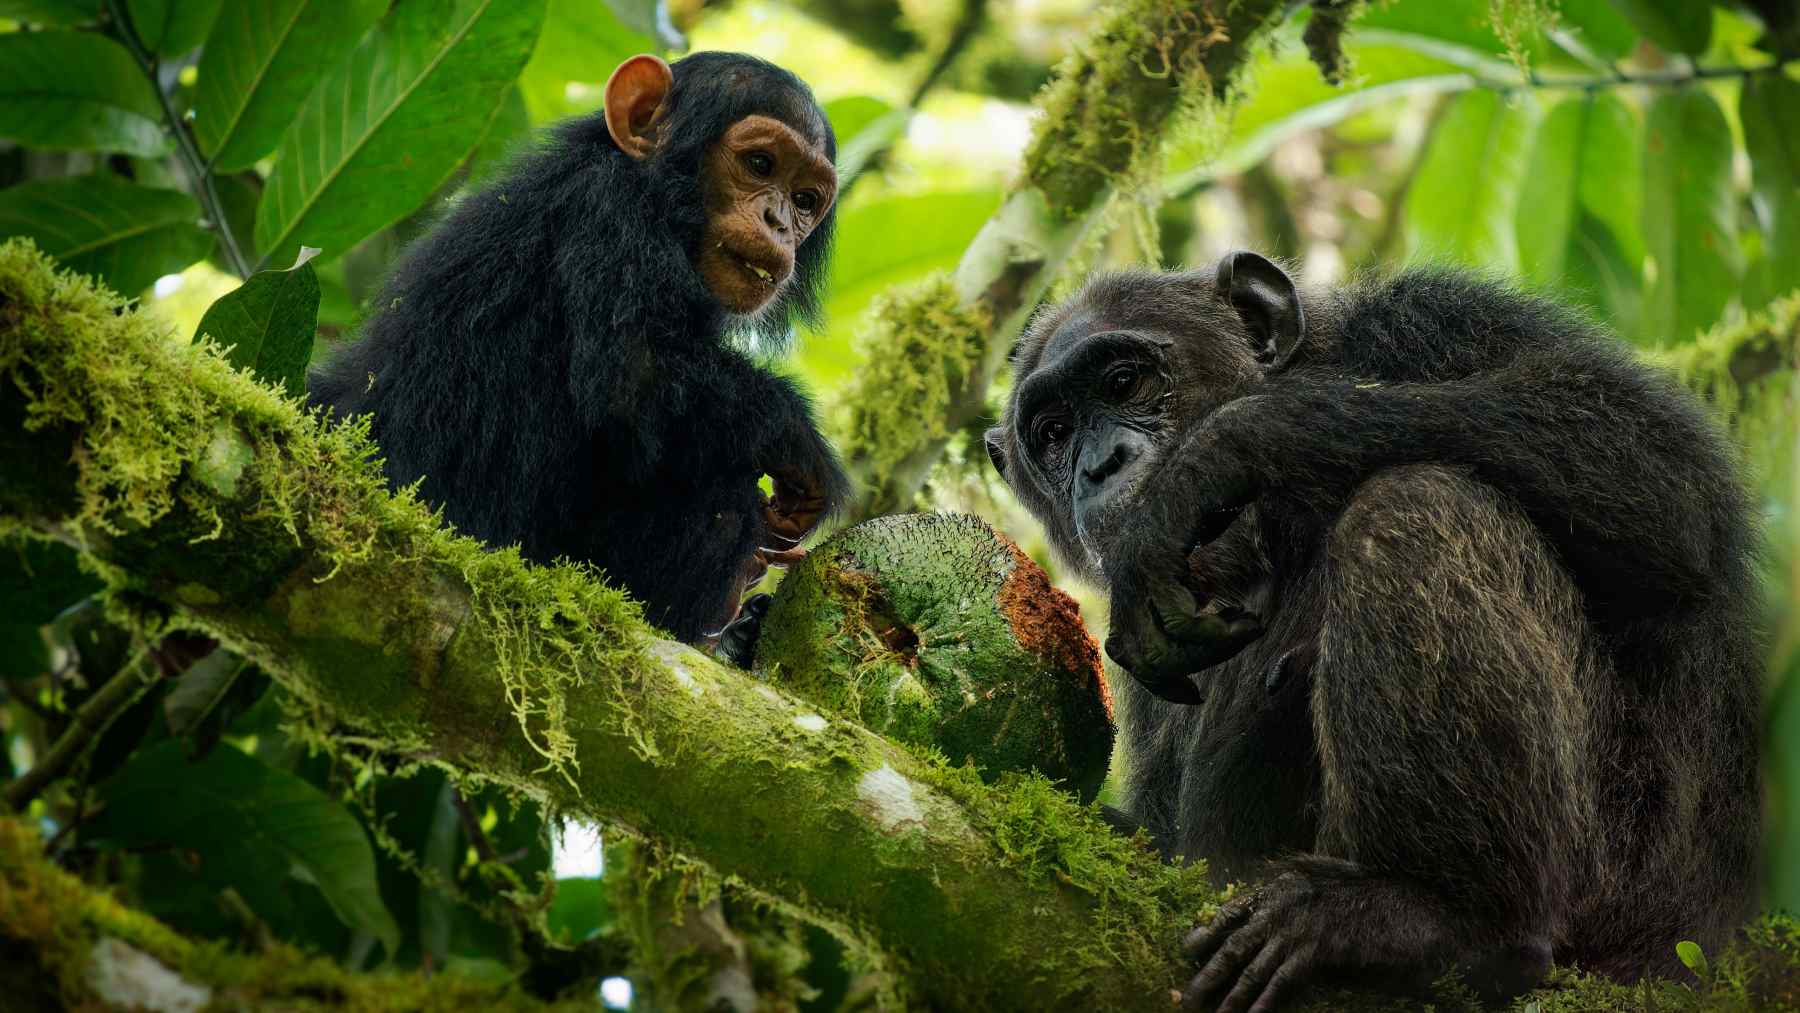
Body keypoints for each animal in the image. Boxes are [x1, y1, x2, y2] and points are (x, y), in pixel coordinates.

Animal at [308, 52, 849, 658]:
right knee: (717, 481)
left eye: (804, 201)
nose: (779, 221)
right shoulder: (608, 215)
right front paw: (803, 450)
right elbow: (634, 375)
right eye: (759, 164)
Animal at [984, 253, 1762, 1011]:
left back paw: (1440, 915)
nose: (1101, 465)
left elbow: (1651, 466)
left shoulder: (1439, 320)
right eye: (1054, 433)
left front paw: (1210, 459)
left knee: (1413, 506)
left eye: (1125, 381)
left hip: (1621, 888)